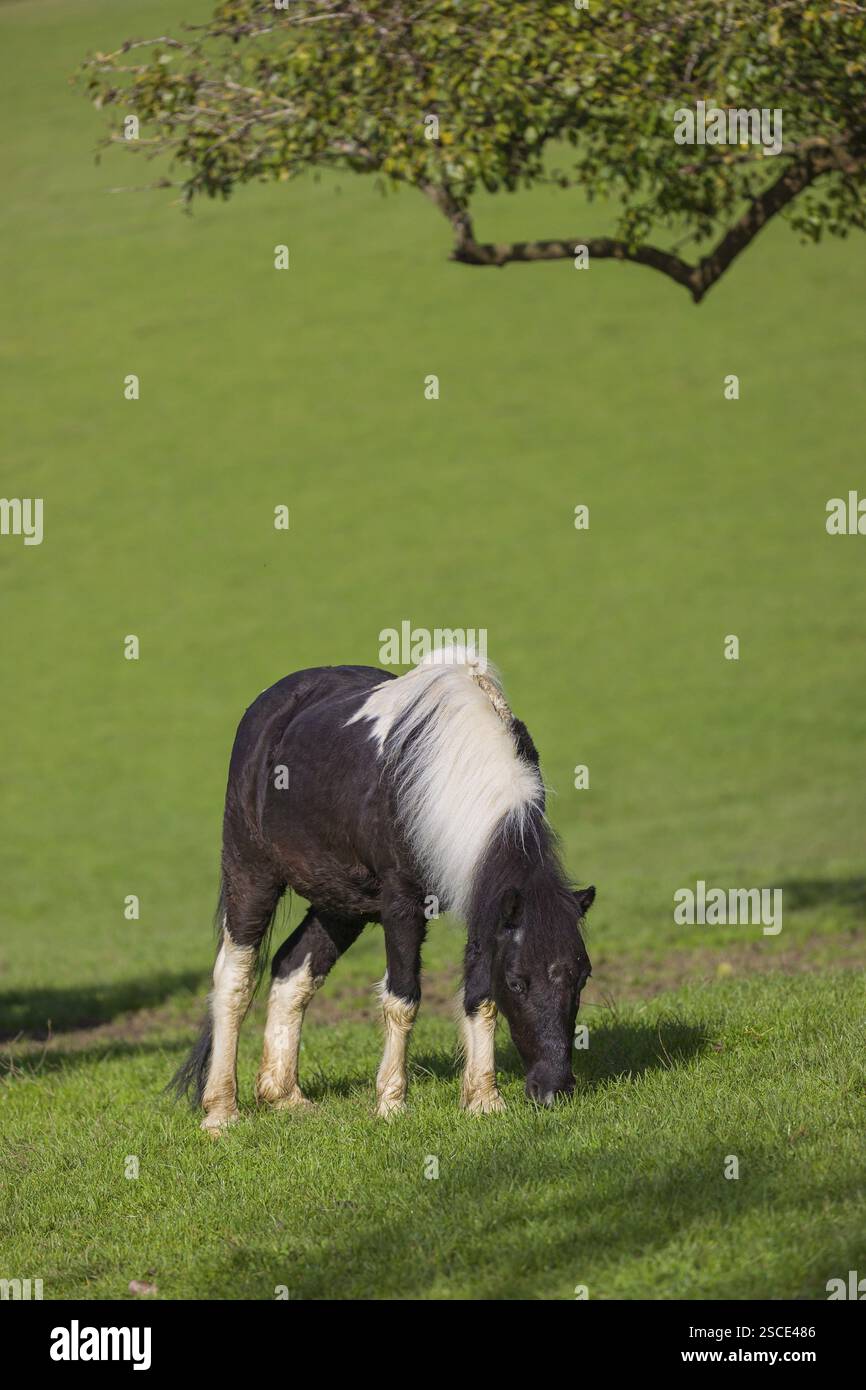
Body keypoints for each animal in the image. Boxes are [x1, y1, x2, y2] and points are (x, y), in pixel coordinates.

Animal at [171, 646, 595, 1132]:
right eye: (518, 983)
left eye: (582, 976)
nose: (554, 1090)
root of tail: (272, 704)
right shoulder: (403, 904)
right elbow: (402, 998)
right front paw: (392, 1103)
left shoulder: (484, 901)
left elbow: (479, 994)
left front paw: (483, 1100)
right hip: (251, 872)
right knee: (234, 981)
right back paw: (221, 1112)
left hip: (340, 903)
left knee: (293, 969)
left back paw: (284, 1096)